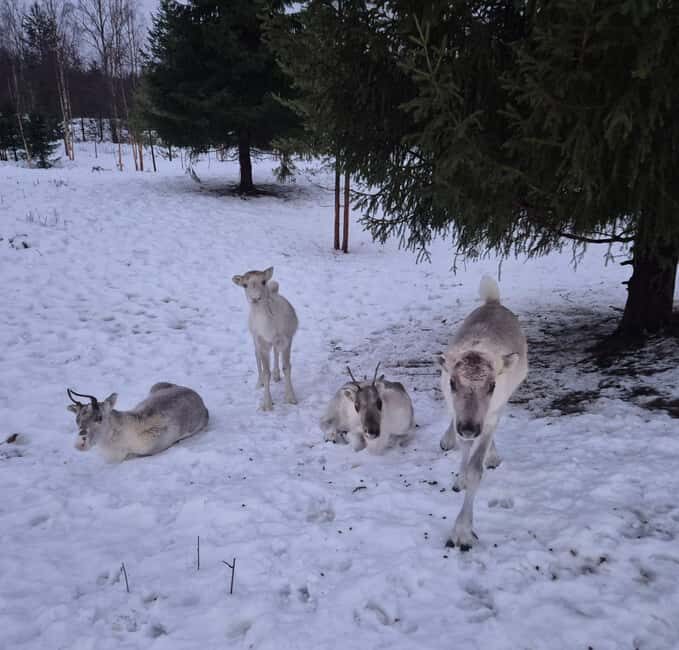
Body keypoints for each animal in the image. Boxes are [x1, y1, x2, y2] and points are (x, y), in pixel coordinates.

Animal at [232, 266, 298, 411]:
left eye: (263, 281)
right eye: (244, 285)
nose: (255, 298)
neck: (269, 328)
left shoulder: (287, 338)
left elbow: (287, 367)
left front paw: (291, 398)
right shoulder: (261, 342)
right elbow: (266, 372)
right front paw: (267, 404)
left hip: (277, 342)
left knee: (276, 352)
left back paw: (277, 375)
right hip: (254, 339)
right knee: (257, 357)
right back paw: (259, 383)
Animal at [437, 276, 528, 551]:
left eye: (492, 385)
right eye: (453, 382)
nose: (468, 427)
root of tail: (493, 301)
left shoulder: (490, 414)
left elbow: (477, 468)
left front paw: (462, 532)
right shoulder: (457, 410)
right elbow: (463, 444)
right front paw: (460, 477)